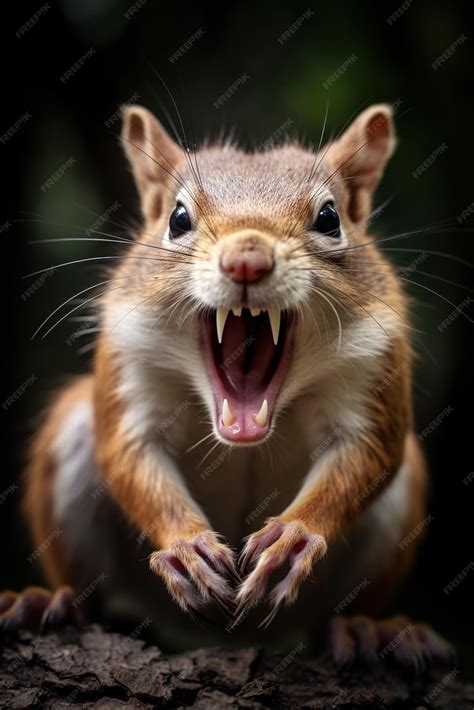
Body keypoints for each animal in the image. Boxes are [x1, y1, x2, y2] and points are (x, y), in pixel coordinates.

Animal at [3, 103, 452, 666]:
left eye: (330, 219)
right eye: (177, 219)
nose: (247, 258)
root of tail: (237, 635)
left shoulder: (374, 368)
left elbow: (368, 455)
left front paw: (295, 535)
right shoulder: (128, 368)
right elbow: (127, 453)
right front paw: (186, 545)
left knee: (335, 614)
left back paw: (366, 628)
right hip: (72, 444)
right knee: (90, 595)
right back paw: (50, 603)